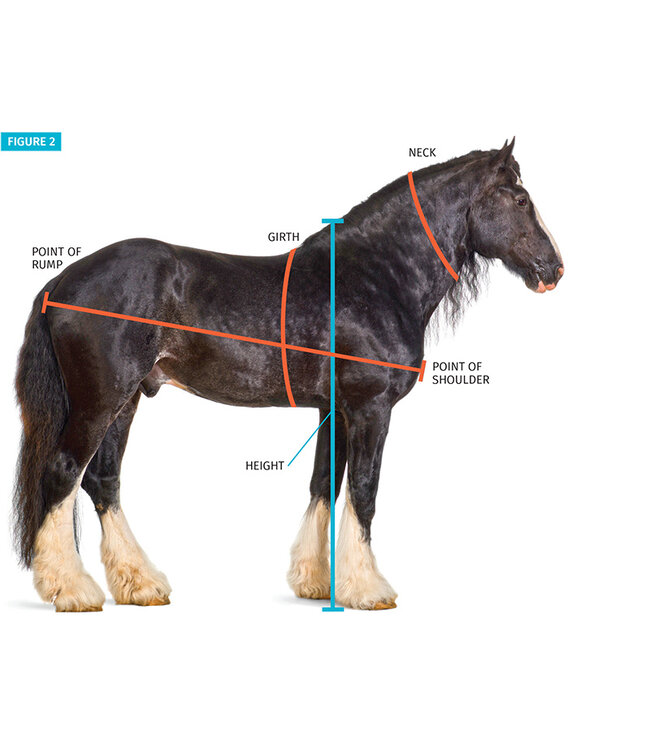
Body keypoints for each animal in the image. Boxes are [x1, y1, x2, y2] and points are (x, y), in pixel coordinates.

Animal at [13, 138, 564, 611]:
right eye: (519, 198)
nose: (554, 270)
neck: (374, 276)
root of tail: (62, 280)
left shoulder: (333, 409)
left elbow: (324, 484)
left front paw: (317, 582)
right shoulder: (370, 408)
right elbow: (364, 490)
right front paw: (369, 589)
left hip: (125, 402)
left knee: (102, 481)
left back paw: (141, 584)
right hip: (100, 401)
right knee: (63, 473)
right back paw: (72, 590)